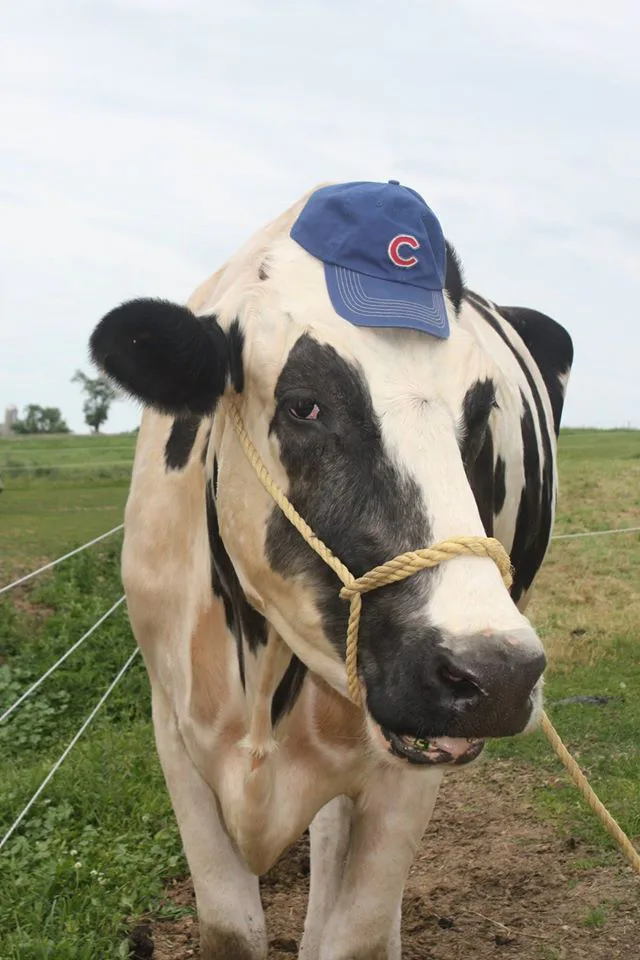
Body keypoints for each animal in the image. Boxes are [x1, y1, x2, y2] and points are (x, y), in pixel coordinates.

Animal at [89, 180, 573, 960]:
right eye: (303, 405)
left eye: (479, 416)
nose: (497, 674)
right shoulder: (174, 732)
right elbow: (230, 929)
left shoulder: (413, 756)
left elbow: (360, 934)